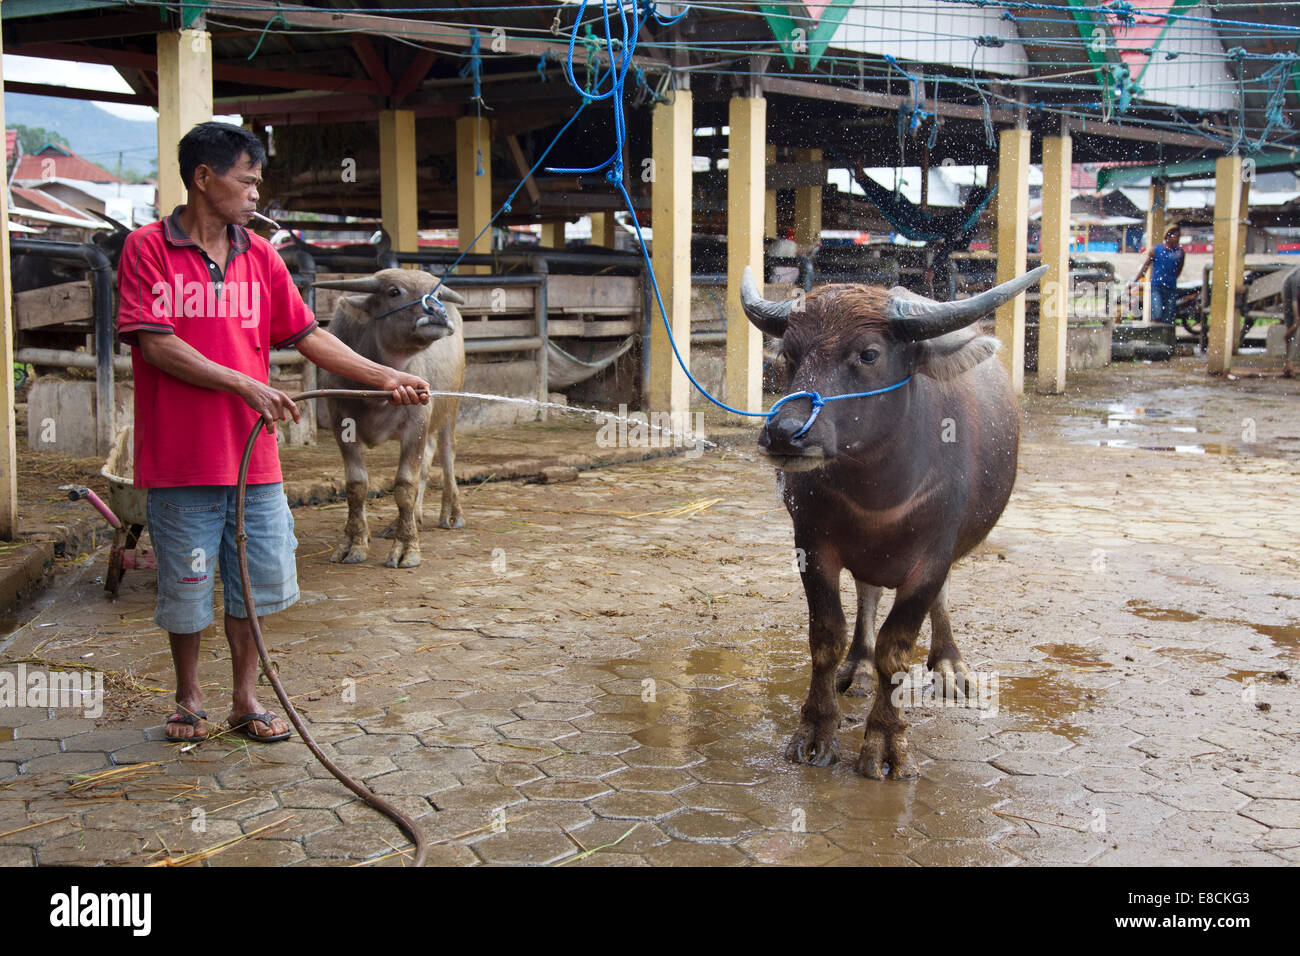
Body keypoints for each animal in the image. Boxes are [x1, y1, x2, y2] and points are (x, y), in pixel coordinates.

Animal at [313, 269, 467, 568]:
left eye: (437, 293)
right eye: (394, 291)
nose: (439, 313)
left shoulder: (417, 423)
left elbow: (405, 485)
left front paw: (406, 547)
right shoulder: (340, 422)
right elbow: (356, 484)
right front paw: (354, 542)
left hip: (449, 410)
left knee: (447, 455)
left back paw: (451, 513)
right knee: (428, 459)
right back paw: (405, 520)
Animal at [738, 264, 1046, 780]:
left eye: (868, 353)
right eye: (789, 354)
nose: (784, 433)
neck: (879, 489)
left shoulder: (933, 556)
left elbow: (897, 650)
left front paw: (885, 744)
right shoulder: (811, 546)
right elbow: (826, 638)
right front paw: (815, 731)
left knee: (937, 600)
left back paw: (949, 666)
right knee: (868, 594)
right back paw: (860, 667)